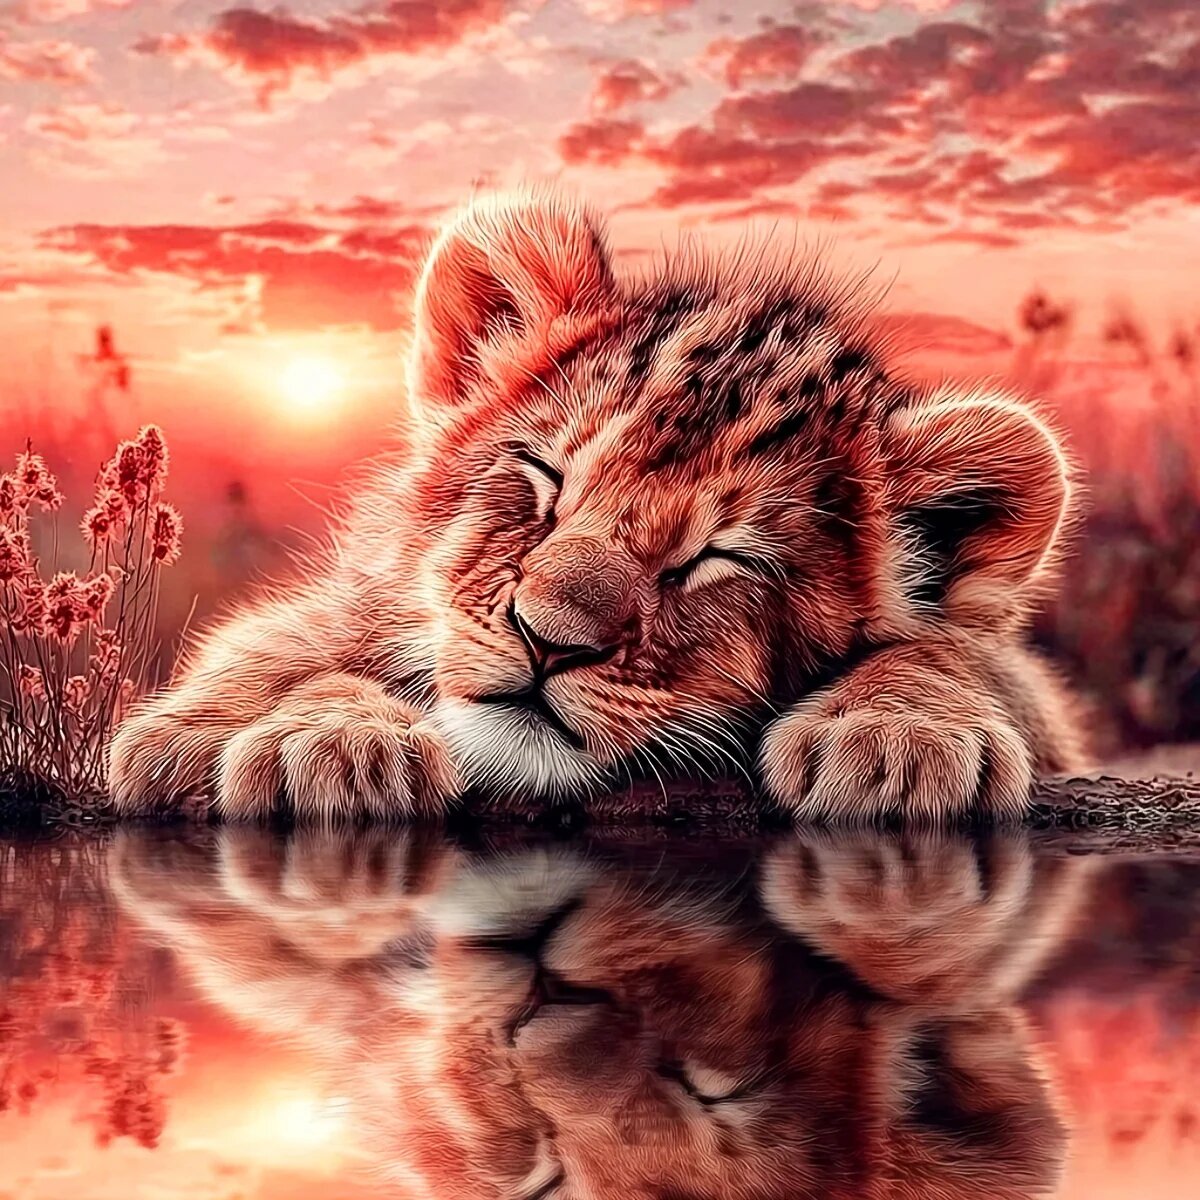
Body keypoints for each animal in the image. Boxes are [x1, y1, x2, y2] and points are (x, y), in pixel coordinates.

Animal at [108, 189, 1086, 821]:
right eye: (546, 478)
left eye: (716, 558)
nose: (548, 642)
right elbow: (284, 650)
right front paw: (321, 743)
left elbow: (957, 654)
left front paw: (895, 737)